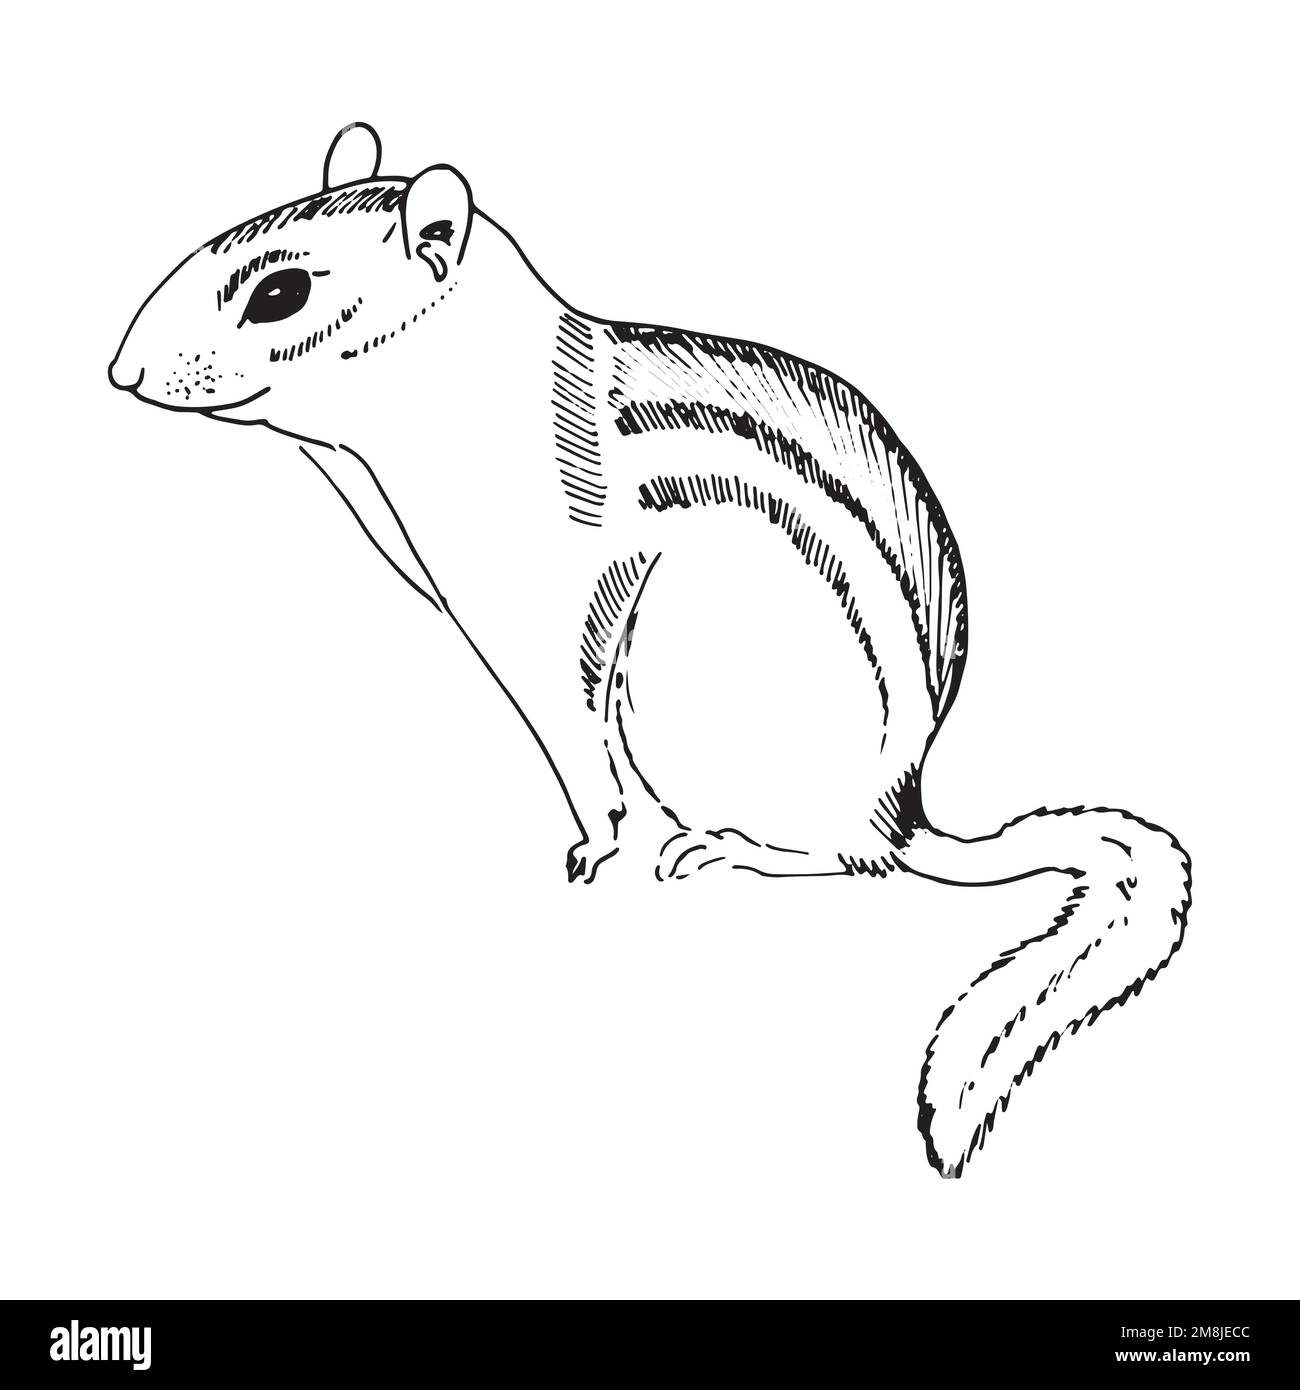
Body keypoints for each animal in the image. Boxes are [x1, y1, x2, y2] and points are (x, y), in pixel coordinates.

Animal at [109, 123, 1191, 1177]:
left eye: (278, 294)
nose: (121, 373)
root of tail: (904, 812)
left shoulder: (547, 603)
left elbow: (571, 721)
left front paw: (598, 838)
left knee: (844, 864)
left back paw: (730, 848)